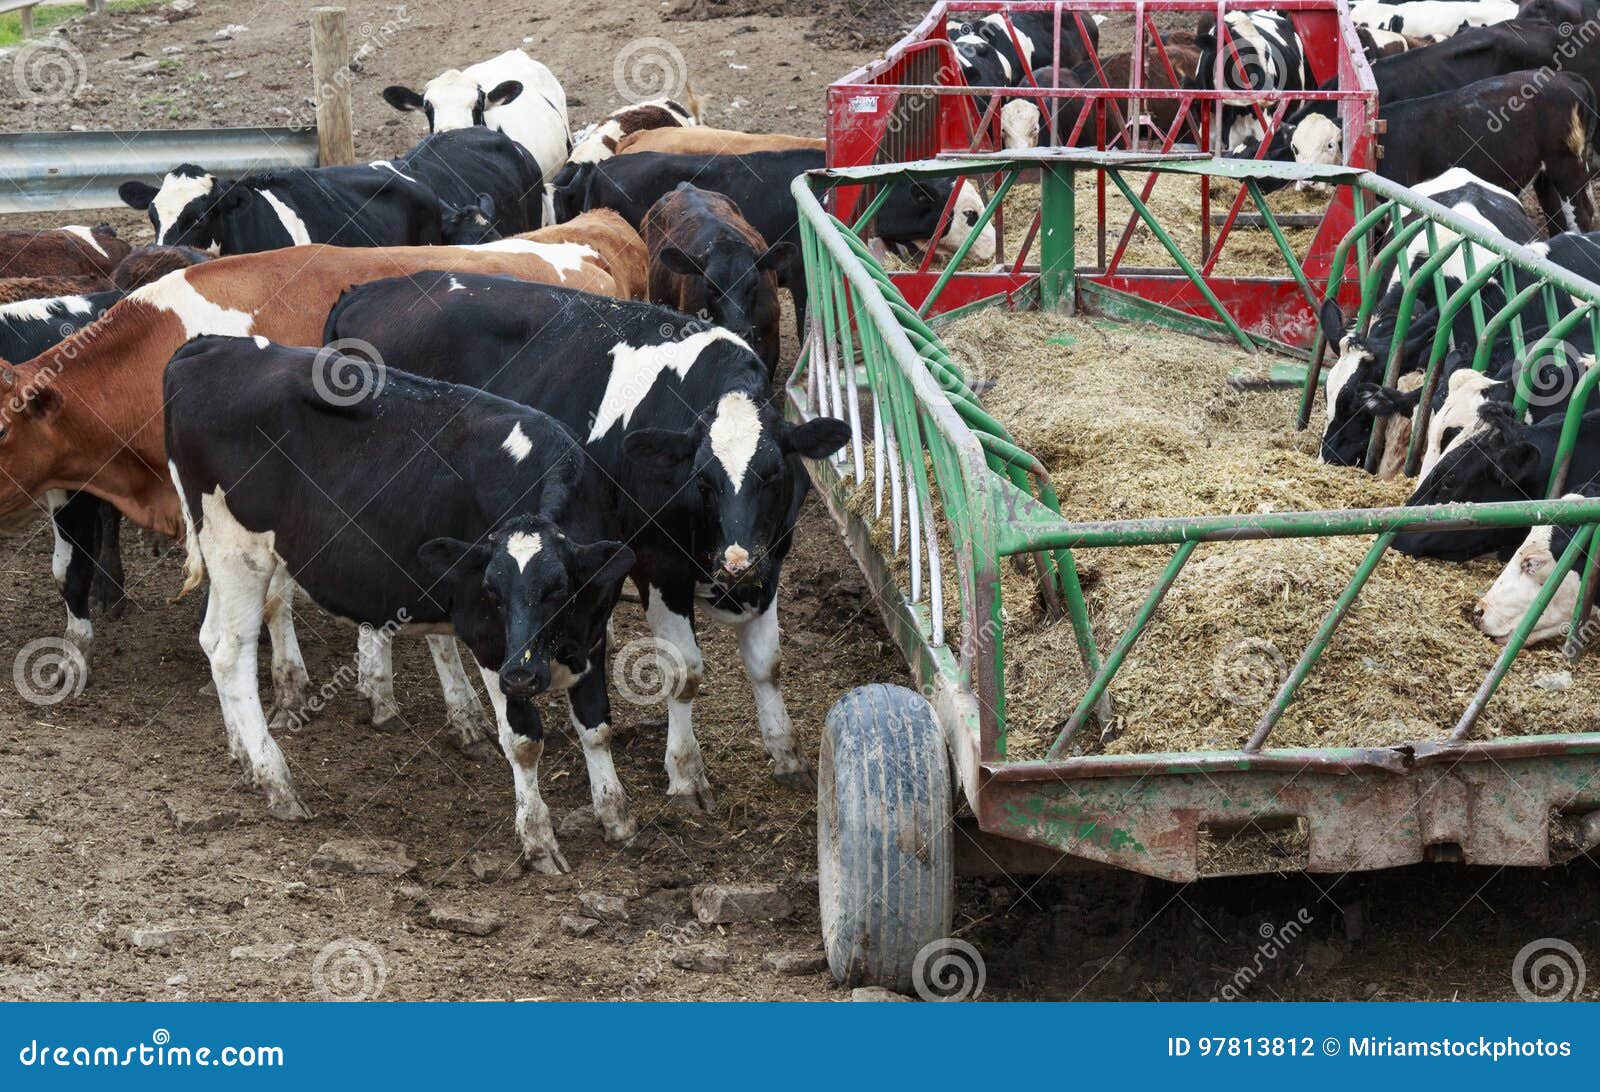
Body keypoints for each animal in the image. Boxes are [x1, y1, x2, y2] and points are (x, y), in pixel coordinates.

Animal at [166, 335, 634, 872]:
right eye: (491, 592)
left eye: (558, 588)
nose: (521, 675)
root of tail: (213, 345)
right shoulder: (488, 638)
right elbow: (523, 743)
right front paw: (538, 839)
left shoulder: (591, 632)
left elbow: (596, 725)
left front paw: (617, 817)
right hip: (238, 548)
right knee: (231, 654)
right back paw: (276, 781)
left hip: (225, 551)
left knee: (211, 639)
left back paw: (242, 754)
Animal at [322, 273, 852, 806]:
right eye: (702, 479)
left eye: (774, 473)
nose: (736, 562)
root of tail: (367, 289)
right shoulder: (659, 564)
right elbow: (684, 672)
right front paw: (685, 774)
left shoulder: (772, 562)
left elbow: (768, 664)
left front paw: (787, 757)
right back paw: (435, 708)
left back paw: (399, 696)